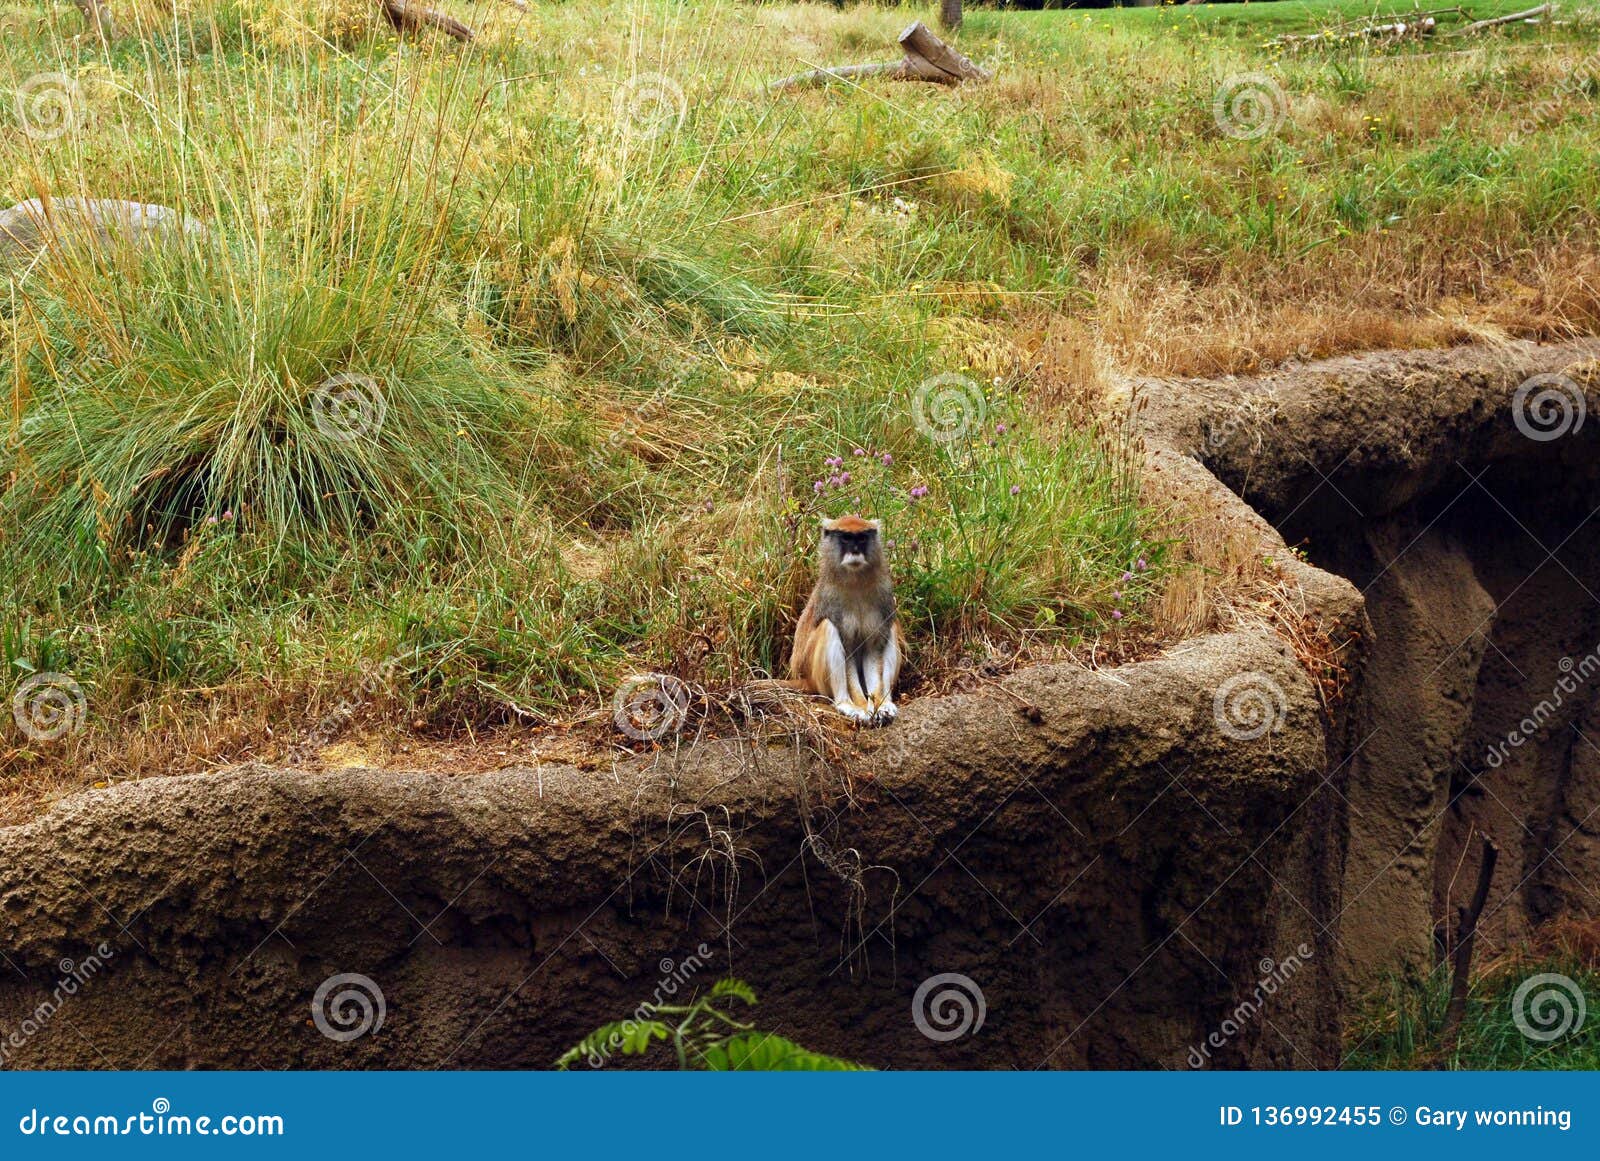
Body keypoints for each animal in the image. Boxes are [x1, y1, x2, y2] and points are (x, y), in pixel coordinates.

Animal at [789, 515, 904, 726]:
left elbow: (873, 649)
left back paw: (886, 702)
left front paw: (879, 706)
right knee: (828, 627)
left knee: (890, 629)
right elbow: (848, 651)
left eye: (861, 538)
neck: (855, 581)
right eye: (846, 538)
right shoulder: (832, 602)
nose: (855, 551)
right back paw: (845, 703)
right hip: (815, 676)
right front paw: (861, 706)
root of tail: (804, 680)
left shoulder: (883, 598)